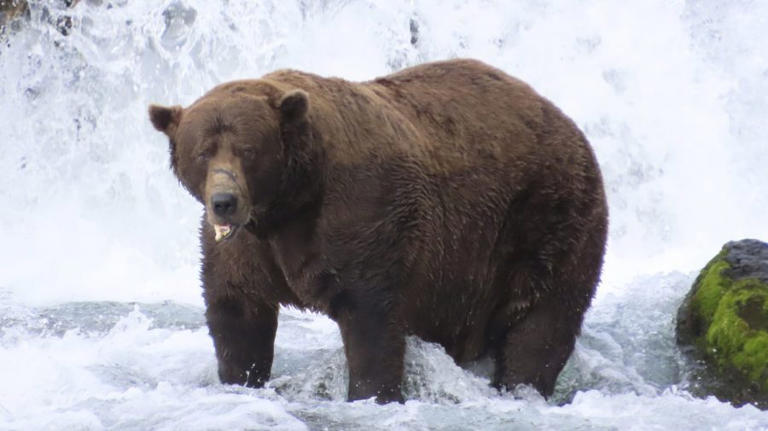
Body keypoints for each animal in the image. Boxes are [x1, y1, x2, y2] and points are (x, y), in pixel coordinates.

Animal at [148, 58, 608, 403]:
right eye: (202, 151)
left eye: (248, 150)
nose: (224, 201)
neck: (289, 203)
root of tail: (567, 122)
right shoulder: (246, 247)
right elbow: (238, 311)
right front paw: (241, 378)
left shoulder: (364, 214)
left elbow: (371, 318)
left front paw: (372, 393)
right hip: (465, 272)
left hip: (547, 217)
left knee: (543, 321)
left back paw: (521, 385)